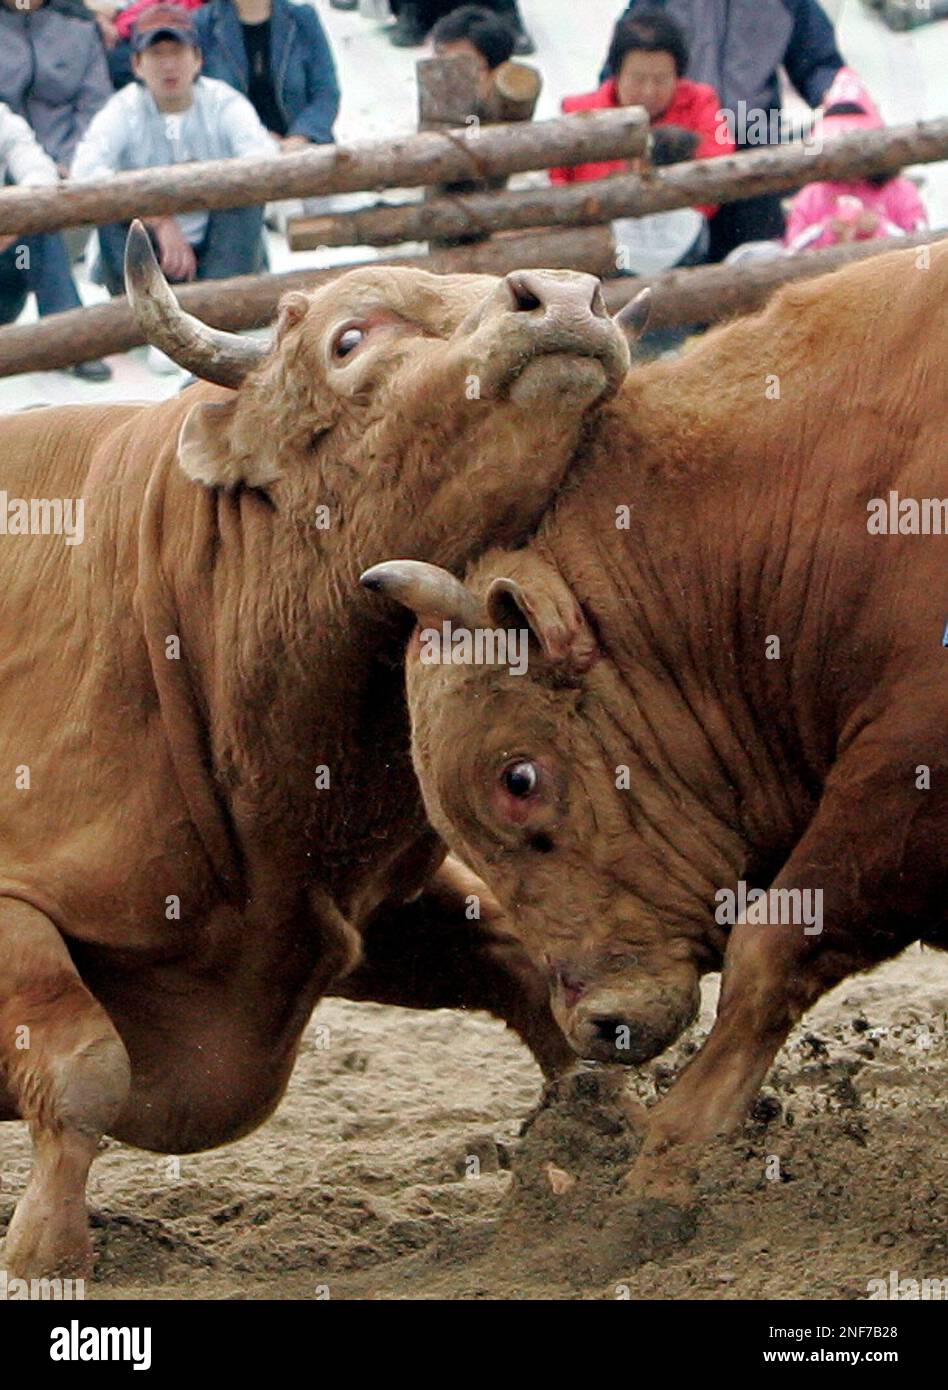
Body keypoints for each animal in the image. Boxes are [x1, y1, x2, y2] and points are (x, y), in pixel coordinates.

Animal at [0, 220, 645, 1279]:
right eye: (351, 337)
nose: (561, 295)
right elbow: (84, 1065)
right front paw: (44, 1254)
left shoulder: (339, 911)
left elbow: (519, 961)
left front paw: (605, 1158)